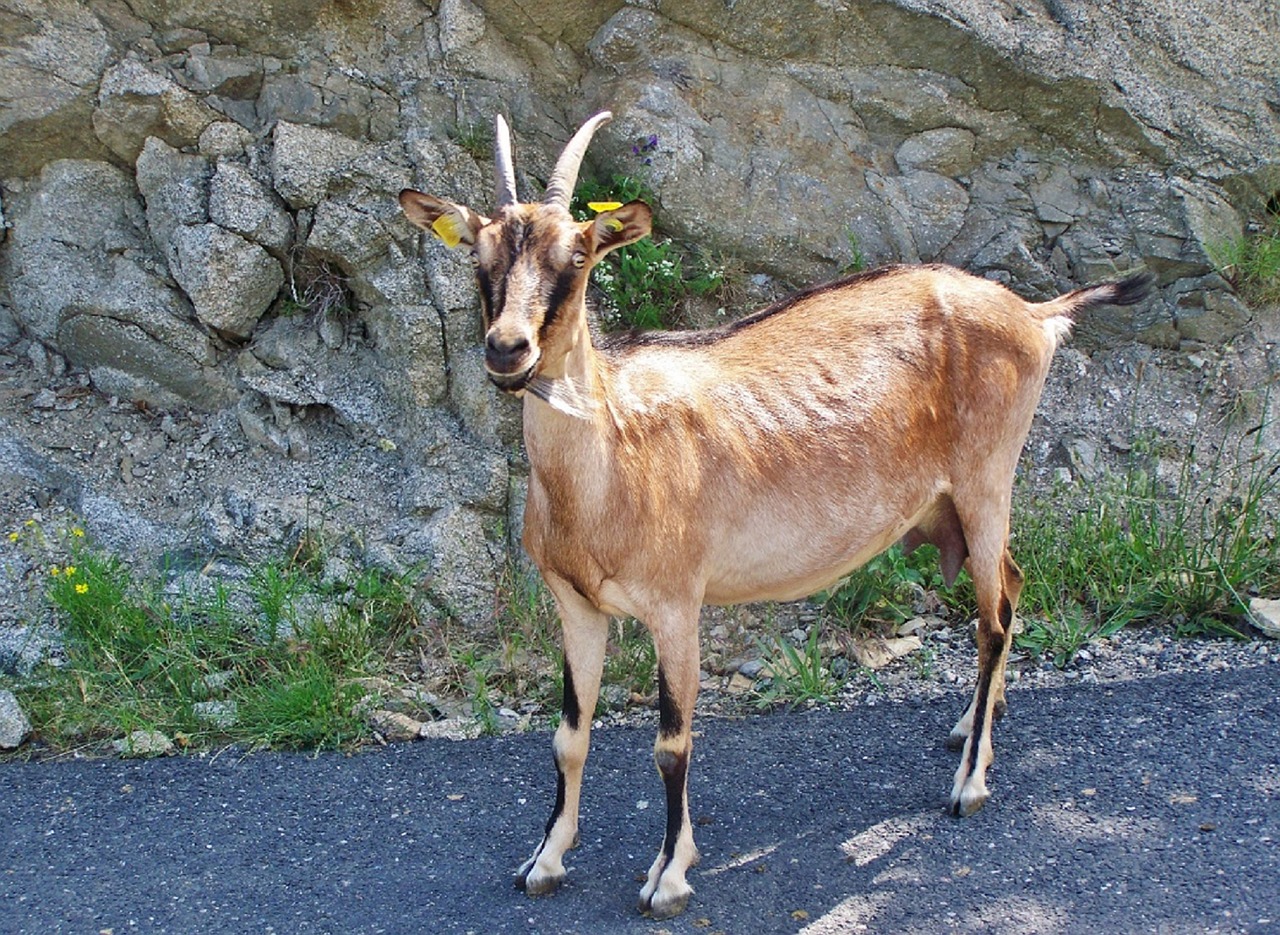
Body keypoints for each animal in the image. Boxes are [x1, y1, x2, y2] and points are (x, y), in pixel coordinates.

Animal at [399, 110, 1153, 919]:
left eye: (577, 256)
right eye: (477, 257)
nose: (508, 349)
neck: (610, 457)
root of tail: (1035, 316)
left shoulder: (676, 601)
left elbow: (671, 743)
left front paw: (667, 875)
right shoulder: (576, 603)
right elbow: (568, 736)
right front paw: (543, 860)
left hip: (988, 479)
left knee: (994, 617)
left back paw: (970, 784)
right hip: (960, 502)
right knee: (1011, 584)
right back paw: (972, 729)